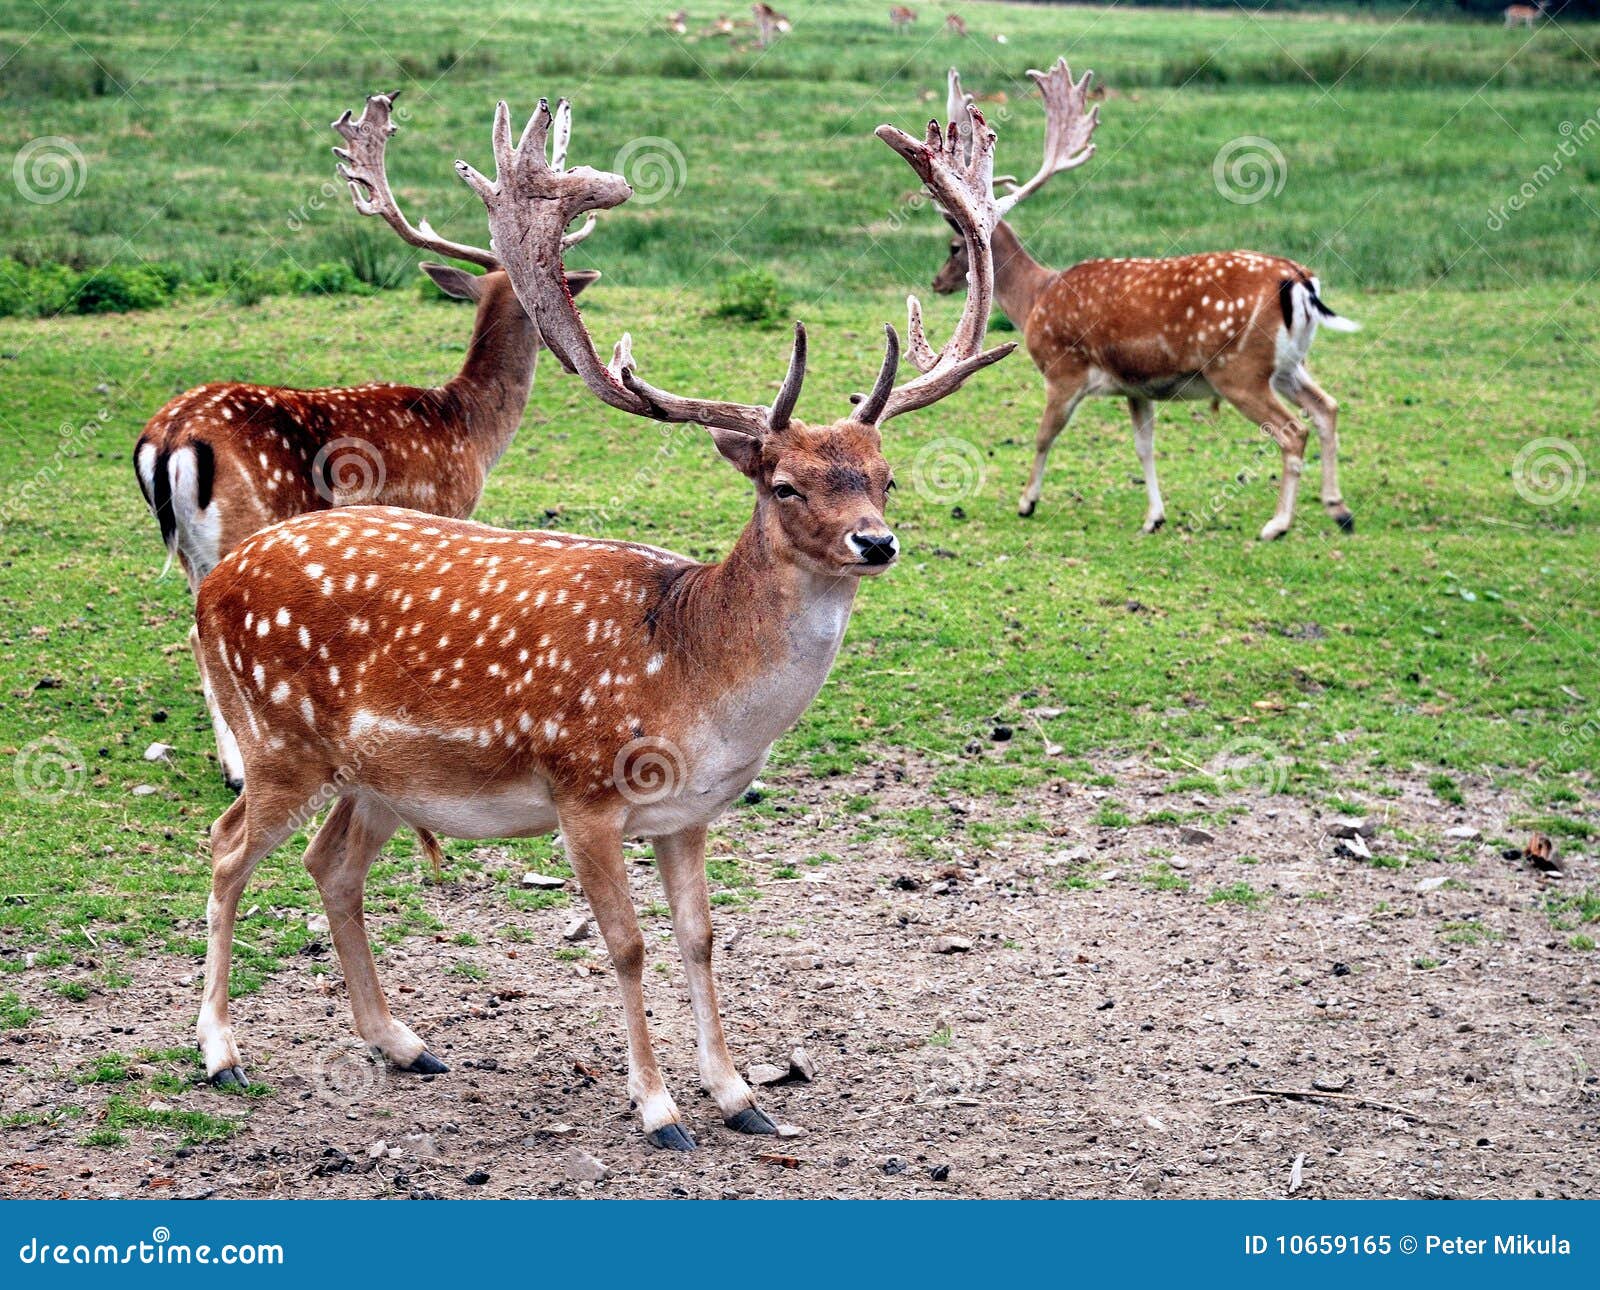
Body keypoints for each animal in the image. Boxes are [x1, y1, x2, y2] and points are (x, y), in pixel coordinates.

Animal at [135, 92, 600, 793]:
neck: (471, 428)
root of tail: (168, 440)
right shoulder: (446, 508)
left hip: (192, 547)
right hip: (240, 524)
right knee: (199, 634)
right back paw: (238, 769)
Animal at [187, 95, 1013, 1149]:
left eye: (885, 476)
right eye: (784, 485)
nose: (876, 542)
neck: (693, 678)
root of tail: (216, 582)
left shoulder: (691, 812)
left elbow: (701, 937)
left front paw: (739, 1096)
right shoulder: (583, 790)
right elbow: (624, 945)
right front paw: (659, 1109)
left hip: (377, 777)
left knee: (331, 865)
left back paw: (402, 1043)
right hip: (277, 736)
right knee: (226, 848)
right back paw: (219, 1052)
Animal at [933, 61, 1359, 540]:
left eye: (954, 247)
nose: (936, 282)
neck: (1035, 300)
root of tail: (1299, 280)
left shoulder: (1064, 370)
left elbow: (1045, 434)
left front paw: (1027, 502)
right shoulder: (1136, 385)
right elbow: (1144, 445)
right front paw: (1154, 516)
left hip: (1240, 369)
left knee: (1292, 431)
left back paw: (1277, 524)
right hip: (1287, 365)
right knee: (1327, 409)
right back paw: (1338, 509)